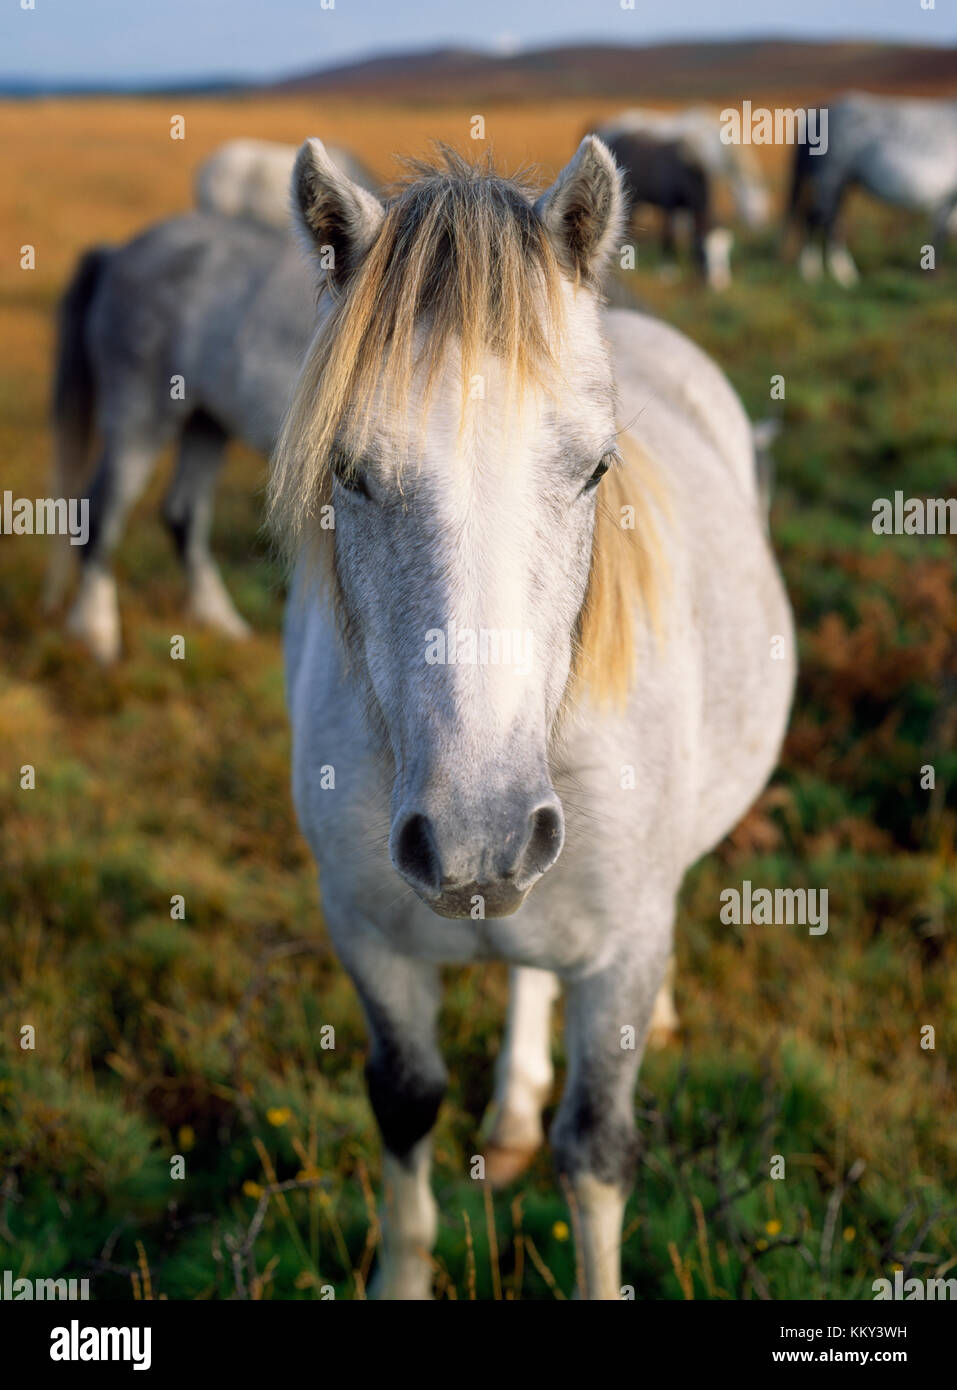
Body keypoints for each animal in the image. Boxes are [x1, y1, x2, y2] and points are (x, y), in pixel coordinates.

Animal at [47, 214, 319, 661]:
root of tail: (117, 254)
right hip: (139, 419)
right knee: (100, 512)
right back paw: (99, 636)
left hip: (205, 422)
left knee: (183, 513)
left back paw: (220, 621)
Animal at [272, 136, 796, 1299]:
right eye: (348, 472)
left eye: (595, 467)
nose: (480, 832)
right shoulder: (367, 942)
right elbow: (407, 1109)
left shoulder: (618, 964)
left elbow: (595, 1156)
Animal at [787, 93, 957, 286]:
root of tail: (817, 114)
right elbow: (941, 232)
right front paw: (932, 275)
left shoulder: (947, 198)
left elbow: (940, 231)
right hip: (829, 179)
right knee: (819, 220)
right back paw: (832, 272)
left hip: (840, 184)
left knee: (828, 219)